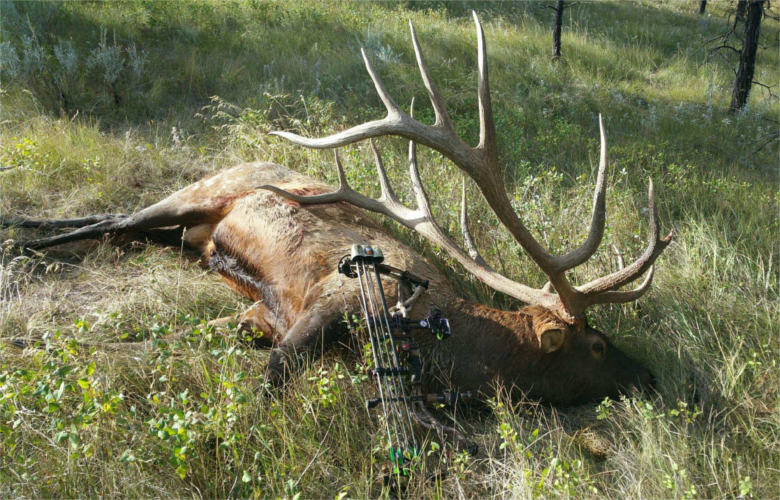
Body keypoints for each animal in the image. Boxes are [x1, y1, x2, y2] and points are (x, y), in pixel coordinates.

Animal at [2, 12, 672, 408]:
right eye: (598, 347)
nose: (650, 375)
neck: (437, 334)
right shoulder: (327, 303)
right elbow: (269, 381)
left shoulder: (259, 315)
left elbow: (163, 342)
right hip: (203, 190)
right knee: (112, 220)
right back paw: (20, 241)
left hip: (192, 234)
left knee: (113, 227)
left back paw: (18, 229)